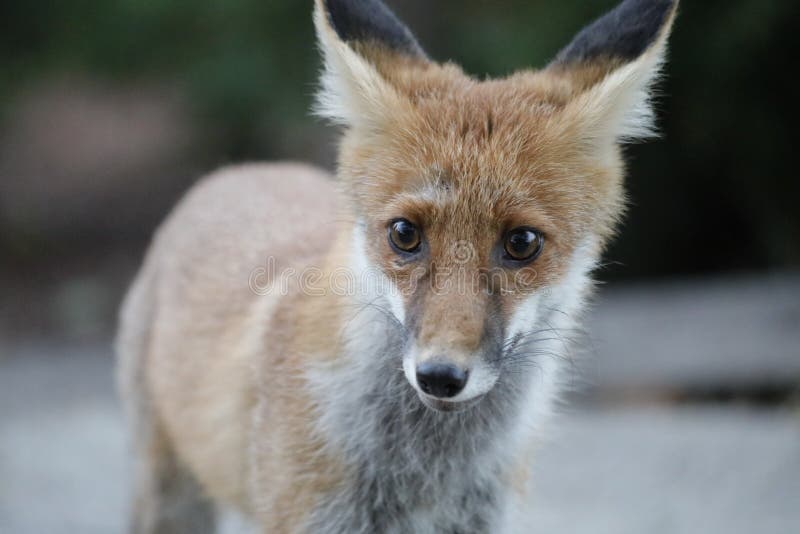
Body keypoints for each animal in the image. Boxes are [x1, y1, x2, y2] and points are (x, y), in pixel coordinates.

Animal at [116, 0, 678, 532]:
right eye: (405, 234)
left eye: (522, 242)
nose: (440, 376)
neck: (425, 474)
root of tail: (239, 171)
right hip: (167, 495)